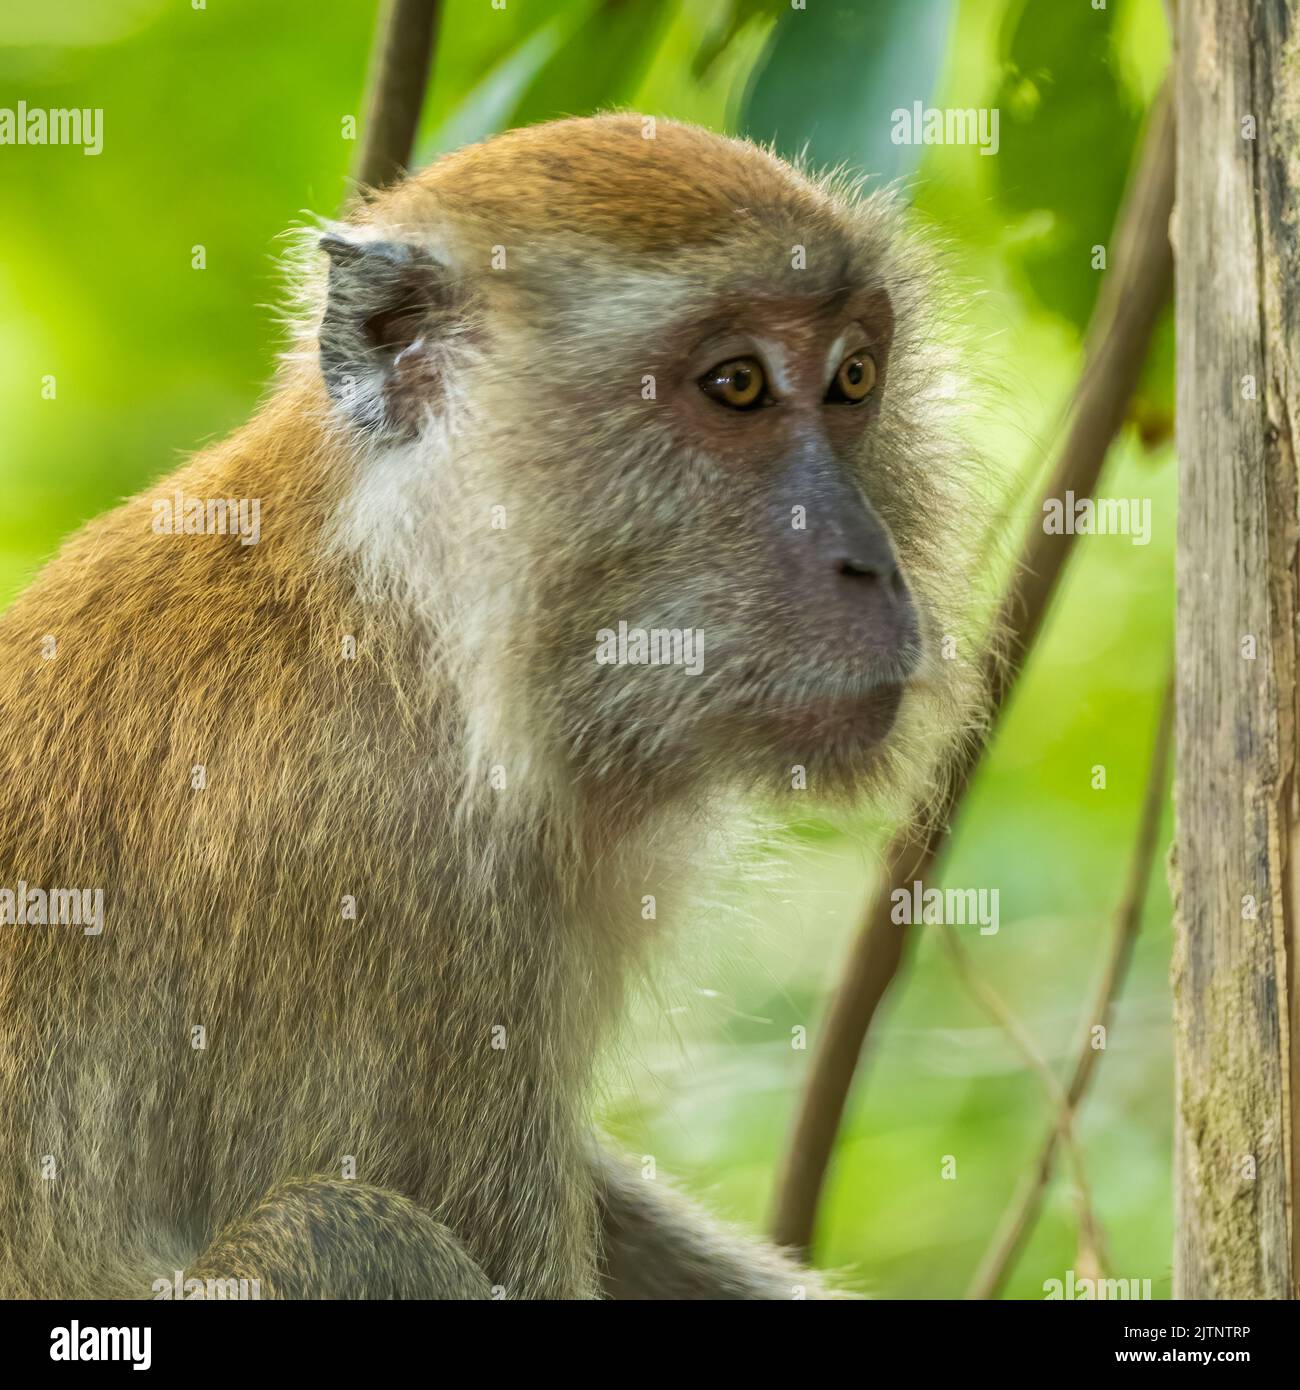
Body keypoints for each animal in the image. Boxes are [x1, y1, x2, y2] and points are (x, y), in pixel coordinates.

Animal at [0, 114, 988, 1299]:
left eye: (853, 378)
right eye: (738, 384)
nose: (871, 566)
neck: (403, 618)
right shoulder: (401, 897)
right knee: (338, 1228)